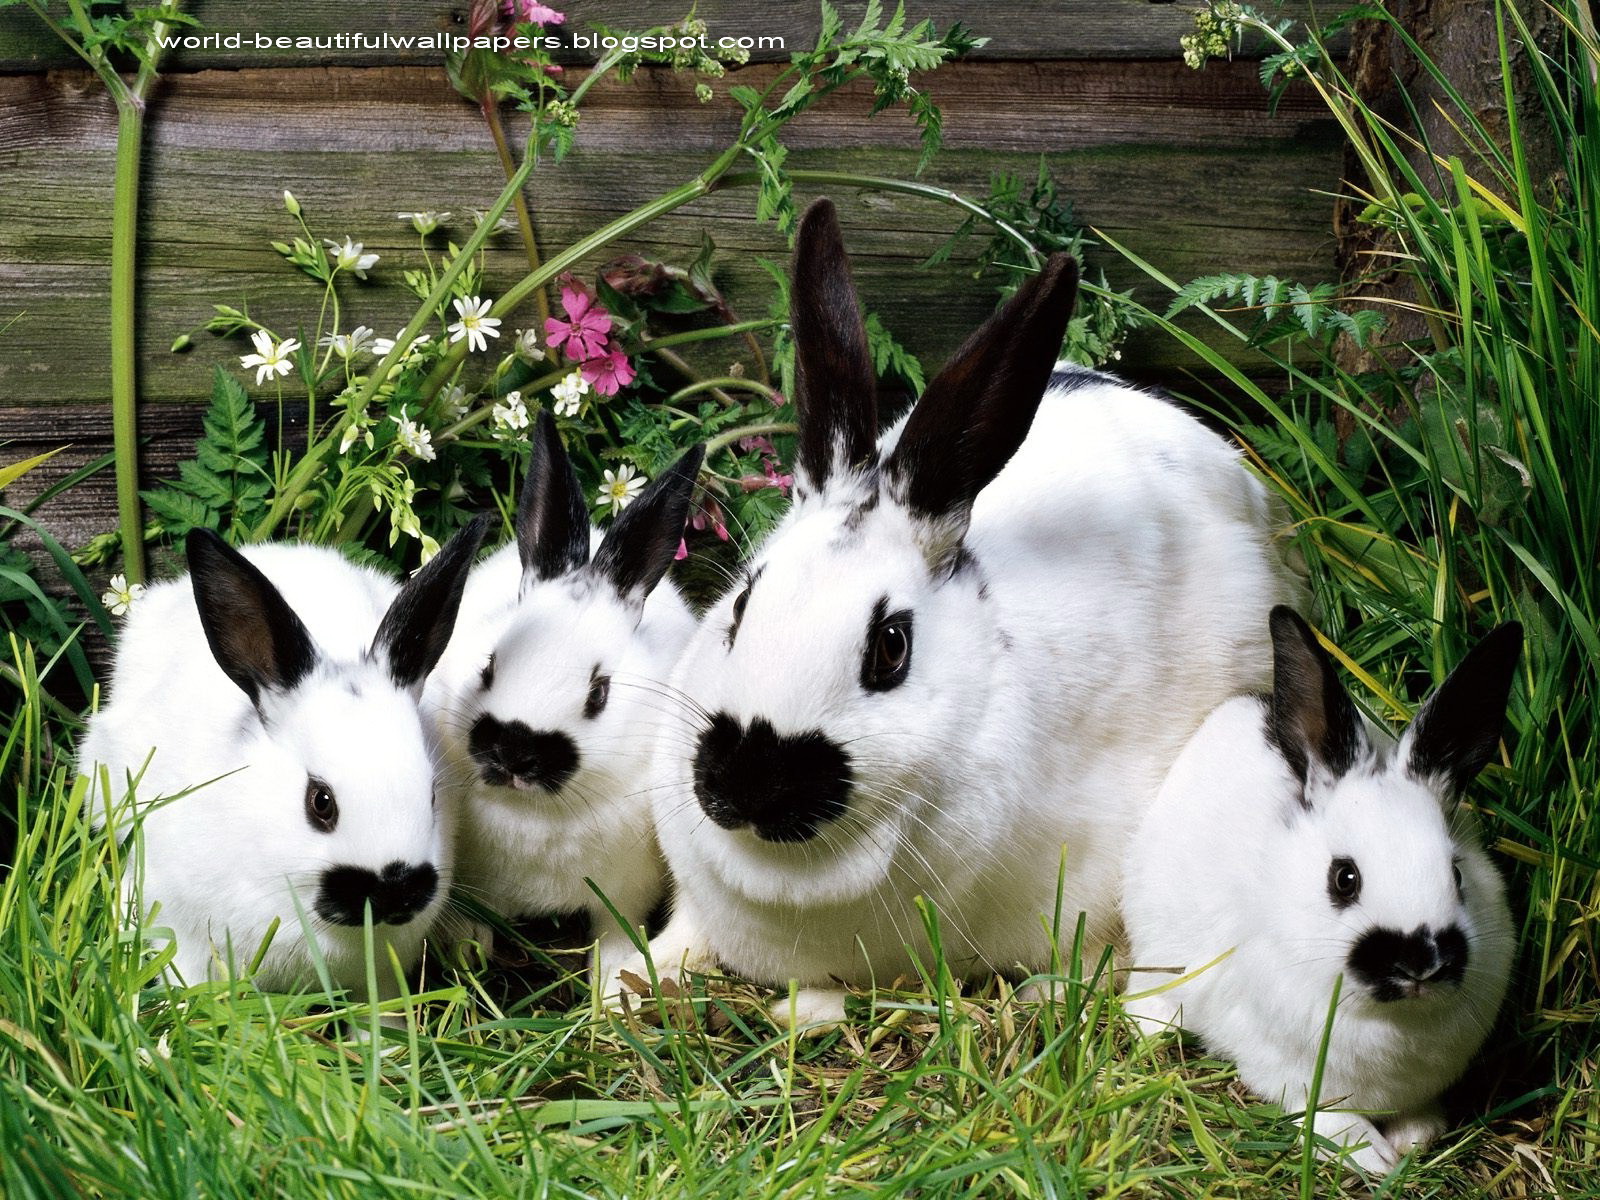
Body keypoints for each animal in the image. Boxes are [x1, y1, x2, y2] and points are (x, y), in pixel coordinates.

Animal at [424, 411, 703, 982]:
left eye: (599, 693)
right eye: (489, 665)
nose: (515, 752)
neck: (535, 814)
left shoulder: (624, 891)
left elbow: (616, 934)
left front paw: (614, 989)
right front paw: (468, 956)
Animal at [613, 197, 1305, 1025]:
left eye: (891, 647)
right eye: (743, 605)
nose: (746, 779)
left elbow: (1101, 953)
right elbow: (685, 932)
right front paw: (633, 981)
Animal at [1121, 606, 1521, 1175]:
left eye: (1458, 875)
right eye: (1344, 878)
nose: (1419, 963)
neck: (1390, 1020)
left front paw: (1415, 1138)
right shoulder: (1288, 1070)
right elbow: (1328, 1118)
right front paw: (1375, 1159)